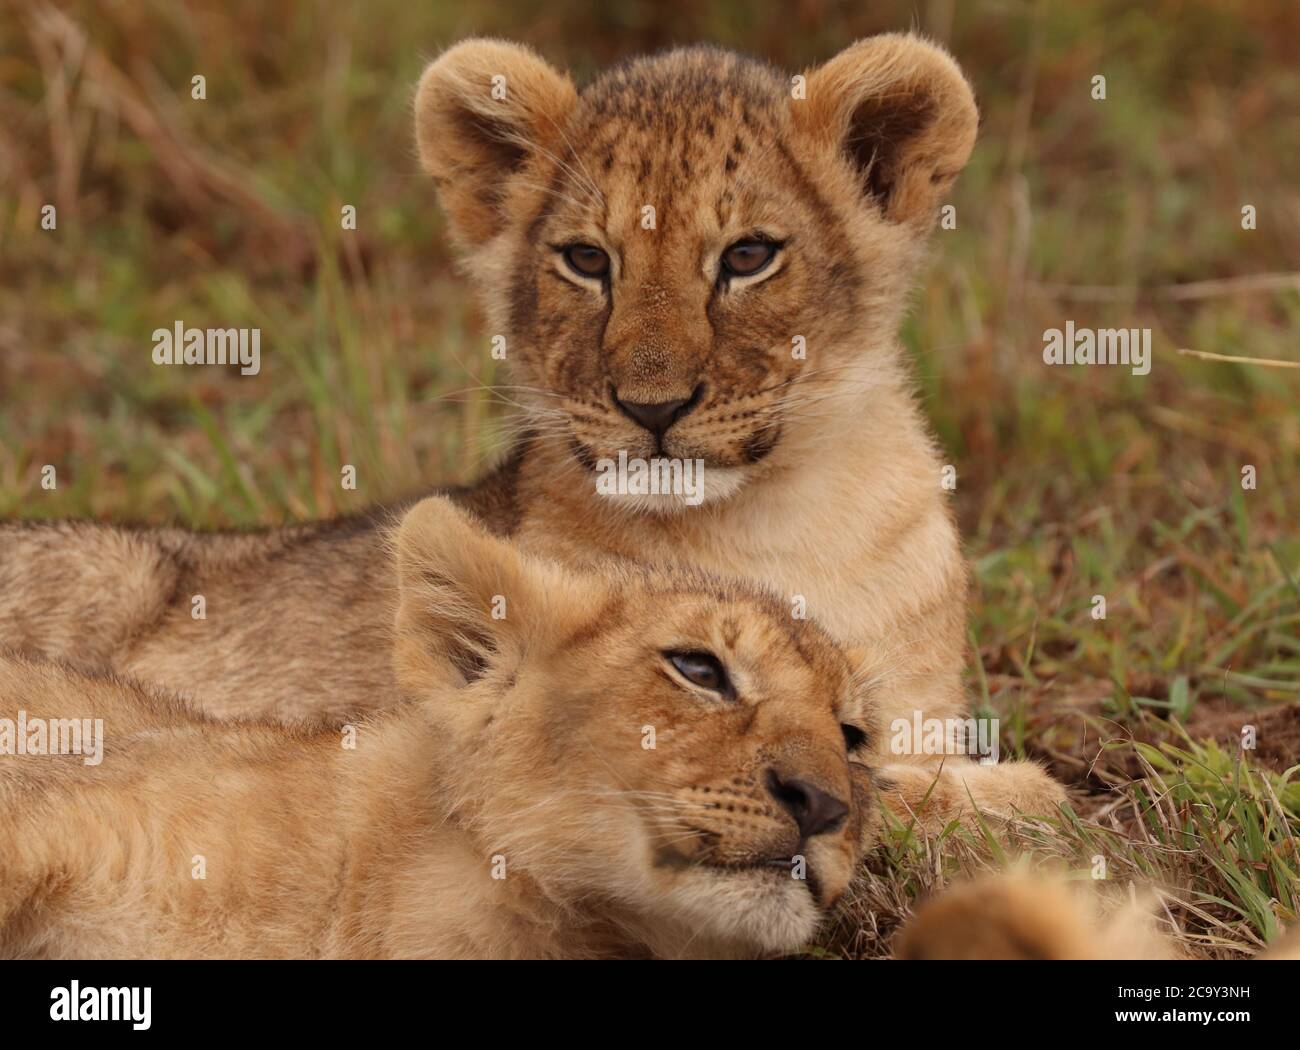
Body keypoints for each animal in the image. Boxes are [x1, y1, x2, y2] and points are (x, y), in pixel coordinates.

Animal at [0, 34, 1063, 822]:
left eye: (749, 256)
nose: (652, 405)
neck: (775, 521)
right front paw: (1023, 793)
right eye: (587, 260)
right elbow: (884, 785)